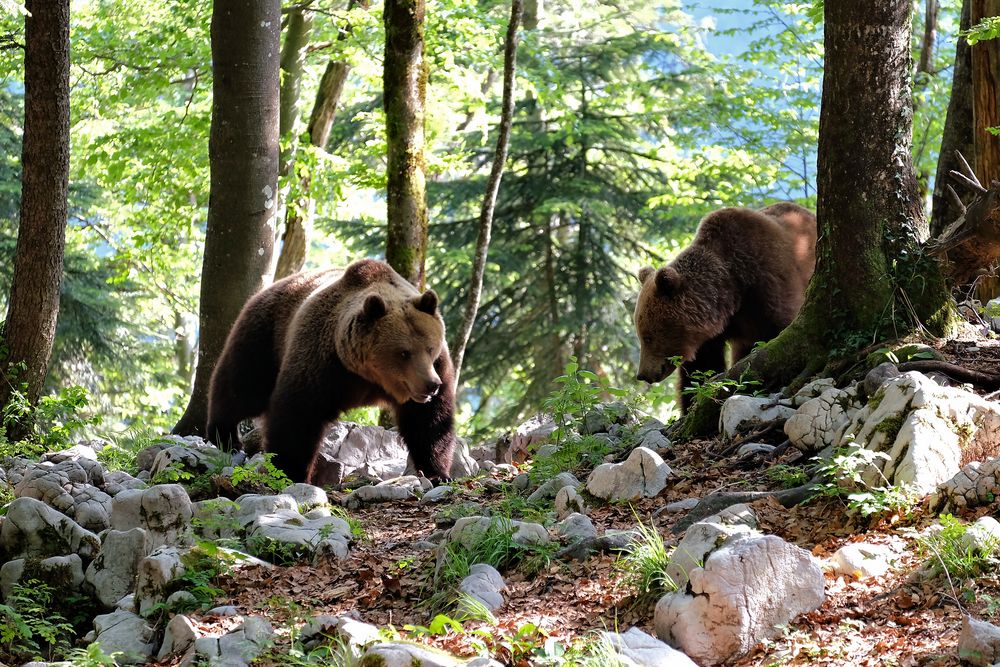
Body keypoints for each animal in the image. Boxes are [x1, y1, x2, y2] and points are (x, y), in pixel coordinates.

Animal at [205, 258, 456, 483]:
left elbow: (429, 421)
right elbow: (299, 413)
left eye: (430, 348)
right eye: (404, 352)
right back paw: (225, 436)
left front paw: (438, 473)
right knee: (242, 386)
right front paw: (290, 471)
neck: (368, 376)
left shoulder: (437, 369)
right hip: (266, 335)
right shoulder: (323, 363)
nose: (431, 385)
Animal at [633, 202, 817, 412]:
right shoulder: (710, 333)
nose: (643, 374)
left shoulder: (768, 284)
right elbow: (702, 367)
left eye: (648, 337)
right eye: (641, 335)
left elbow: (777, 333)